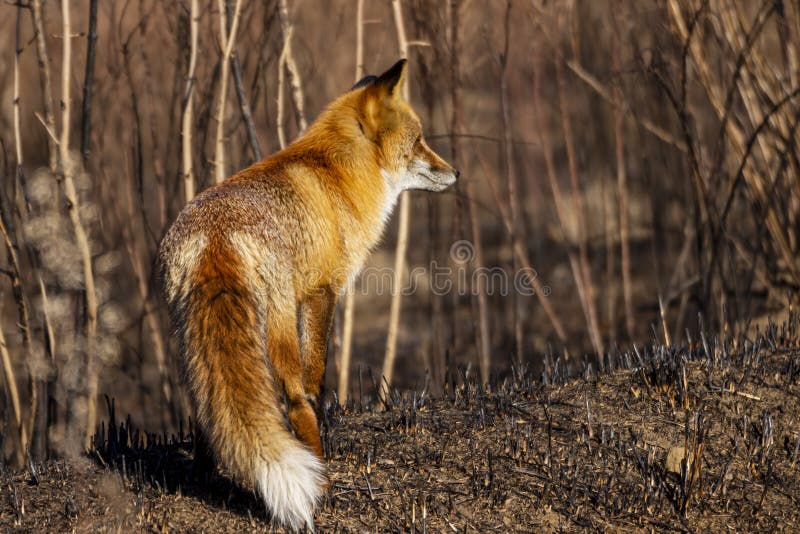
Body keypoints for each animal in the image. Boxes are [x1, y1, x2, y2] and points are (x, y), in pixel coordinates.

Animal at [158, 59, 458, 530]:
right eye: (419, 140)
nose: (456, 172)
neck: (338, 176)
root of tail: (216, 234)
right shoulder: (322, 291)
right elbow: (316, 382)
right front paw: (323, 443)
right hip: (277, 319)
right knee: (294, 397)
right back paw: (319, 474)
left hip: (190, 334)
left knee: (209, 407)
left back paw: (204, 475)